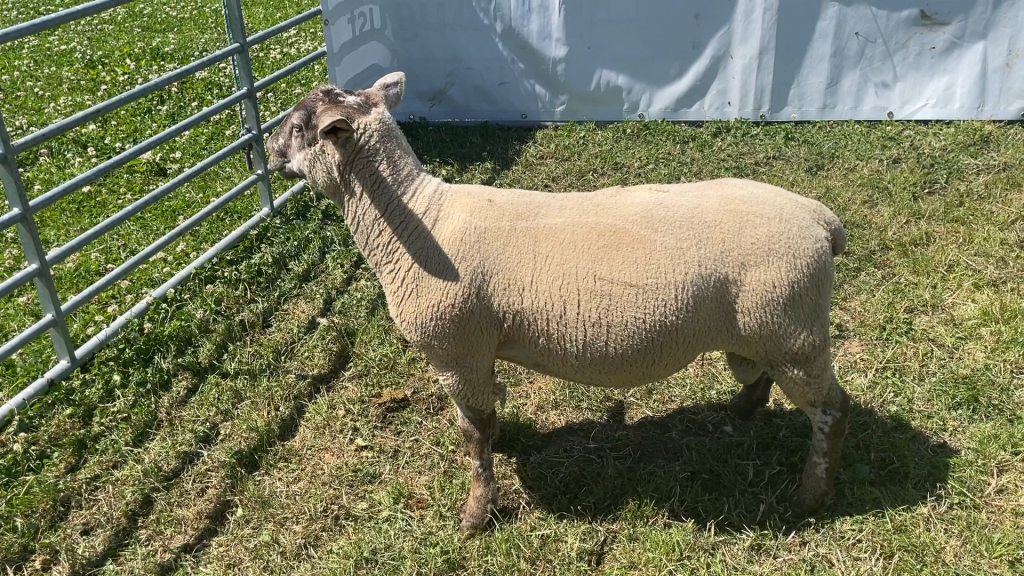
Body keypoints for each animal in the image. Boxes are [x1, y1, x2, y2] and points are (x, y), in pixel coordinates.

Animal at [266, 72, 852, 535]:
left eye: (298, 128)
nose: (267, 149)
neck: (417, 220)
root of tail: (820, 219)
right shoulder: (477, 352)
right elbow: (487, 416)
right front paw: (498, 448)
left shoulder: (455, 351)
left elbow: (472, 435)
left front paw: (476, 514)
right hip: (768, 329)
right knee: (762, 375)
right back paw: (743, 410)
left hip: (793, 330)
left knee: (832, 410)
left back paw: (810, 496)